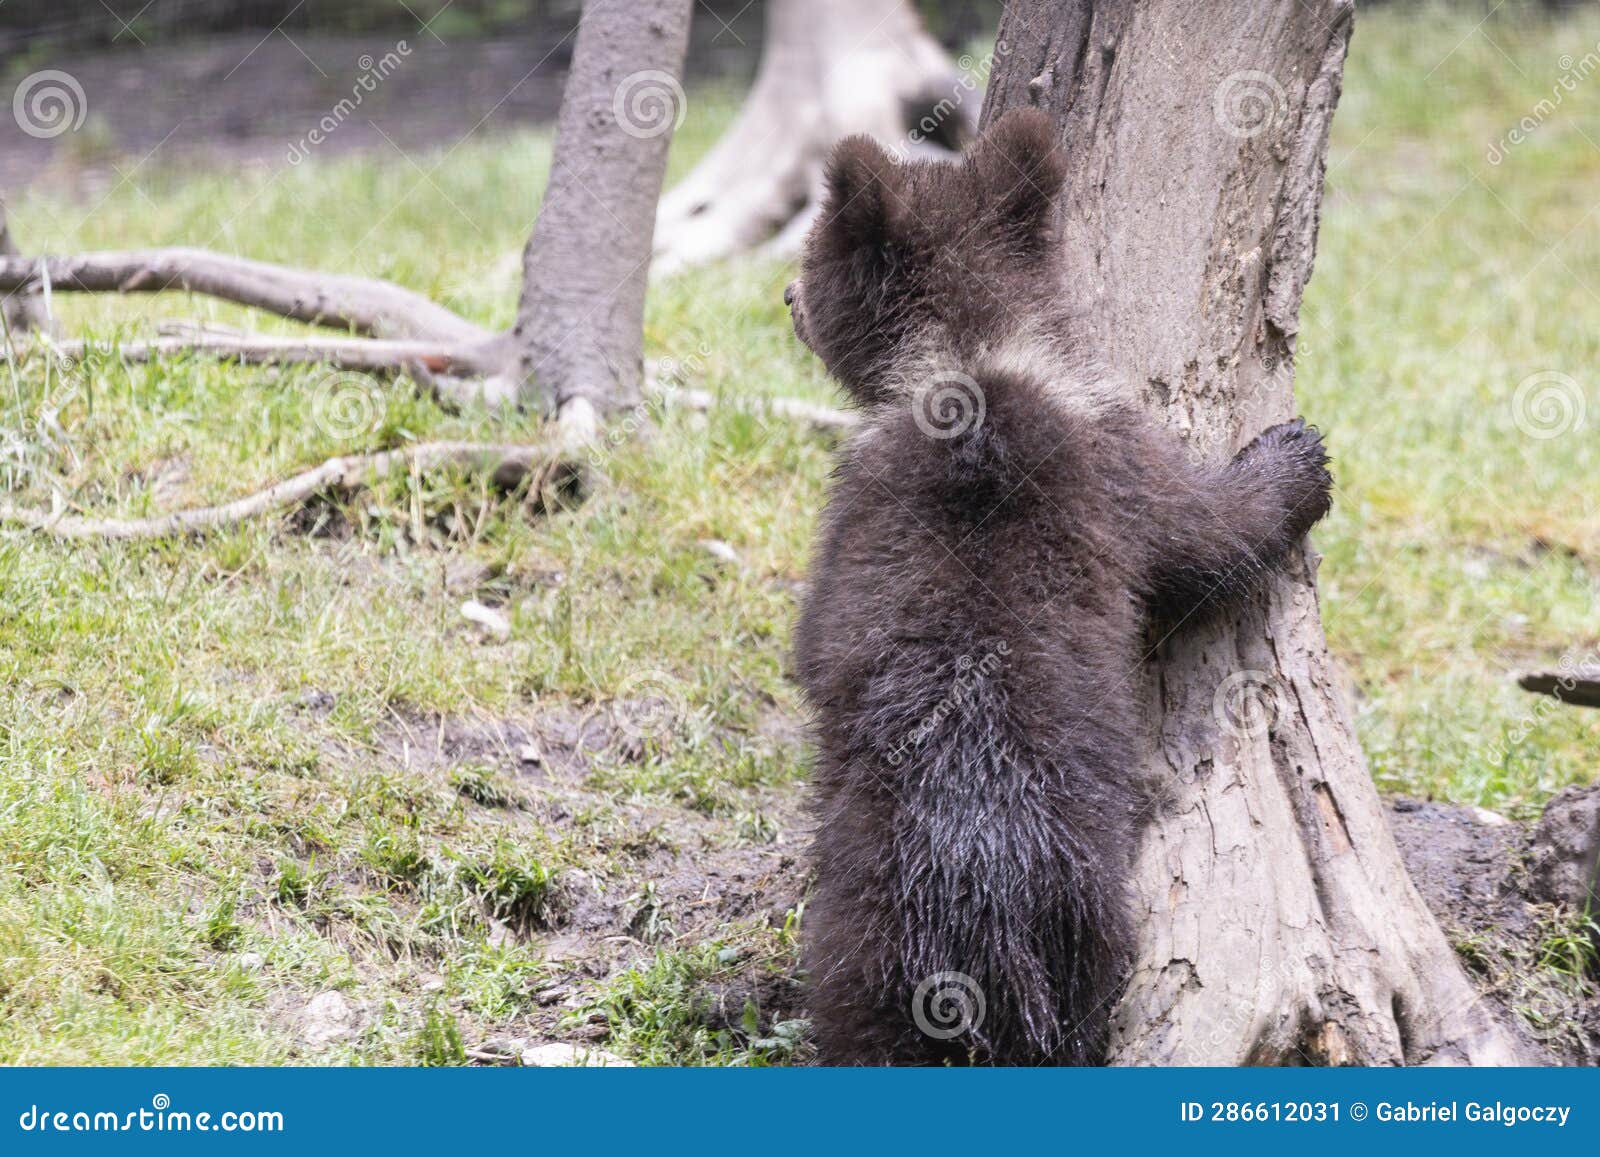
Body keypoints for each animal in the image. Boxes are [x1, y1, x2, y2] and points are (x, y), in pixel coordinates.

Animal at [786, 108, 1334, 1066]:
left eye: (810, 256)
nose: (784, 298)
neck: (967, 358)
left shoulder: (1088, 461)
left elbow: (1203, 530)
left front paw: (1296, 451)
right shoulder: (1094, 468)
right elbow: (1205, 531)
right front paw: (1298, 458)